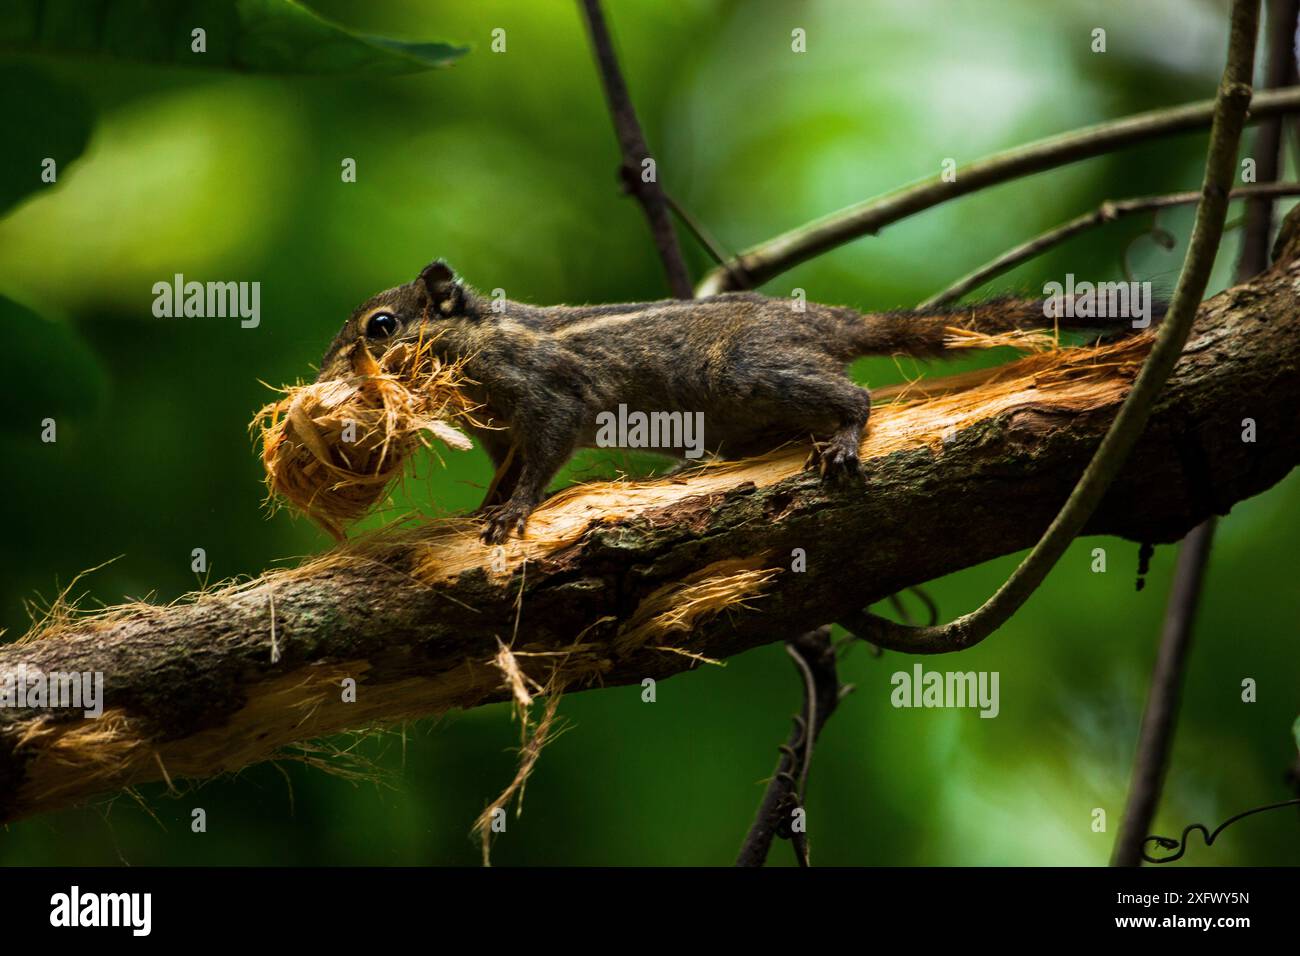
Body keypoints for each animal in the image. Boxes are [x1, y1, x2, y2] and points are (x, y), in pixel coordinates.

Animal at [316, 260, 1139, 544]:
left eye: (381, 327)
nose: (328, 373)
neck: (484, 341)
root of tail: (823, 320)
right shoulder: (500, 433)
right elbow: (503, 469)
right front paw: (483, 509)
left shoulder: (549, 397)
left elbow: (544, 457)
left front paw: (513, 514)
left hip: (749, 369)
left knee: (854, 392)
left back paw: (845, 434)